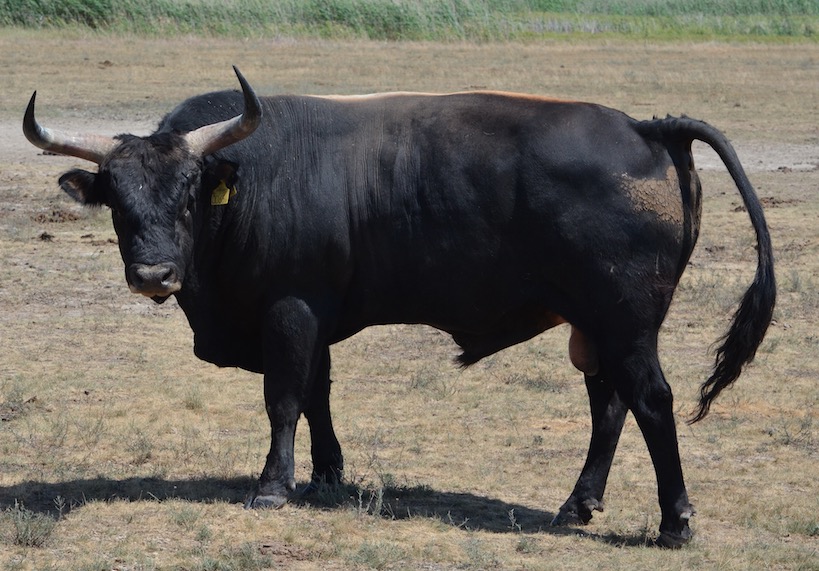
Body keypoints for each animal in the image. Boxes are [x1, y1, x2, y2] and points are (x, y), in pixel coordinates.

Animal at [24, 67, 775, 548]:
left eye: (187, 192)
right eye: (117, 201)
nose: (154, 273)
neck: (248, 187)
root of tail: (646, 127)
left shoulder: (289, 309)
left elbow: (284, 397)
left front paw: (273, 486)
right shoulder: (315, 316)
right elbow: (319, 393)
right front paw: (327, 473)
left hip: (625, 320)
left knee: (650, 400)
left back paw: (674, 522)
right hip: (592, 324)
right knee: (609, 404)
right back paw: (576, 504)